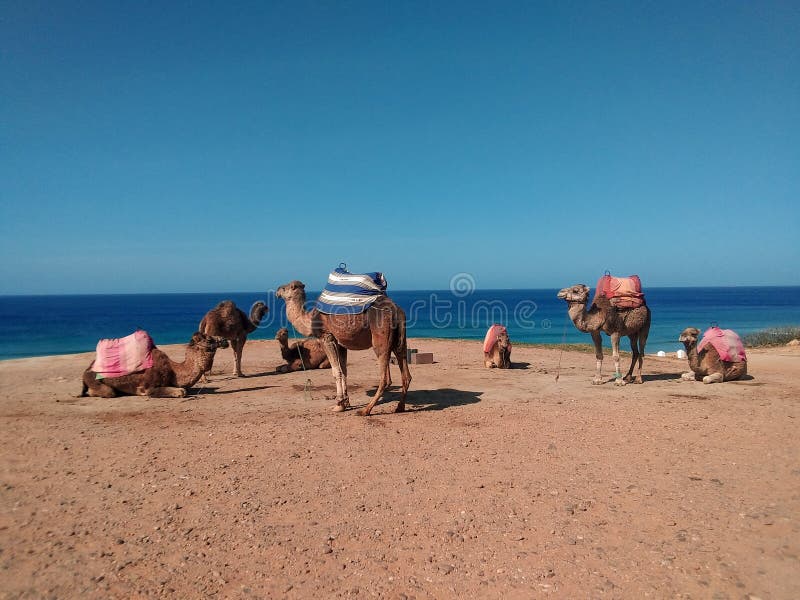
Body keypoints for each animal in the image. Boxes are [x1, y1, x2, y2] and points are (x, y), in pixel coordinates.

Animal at [80, 332, 229, 398]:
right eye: (209, 339)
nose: (225, 340)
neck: (173, 370)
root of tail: (86, 370)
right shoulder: (148, 387)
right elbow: (181, 391)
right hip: (94, 379)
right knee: (108, 391)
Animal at [275, 280, 411, 415]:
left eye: (284, 288)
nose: (276, 292)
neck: (309, 320)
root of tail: (396, 310)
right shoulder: (341, 343)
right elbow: (344, 370)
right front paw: (346, 402)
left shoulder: (326, 338)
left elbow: (336, 371)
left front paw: (339, 404)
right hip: (399, 340)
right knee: (406, 372)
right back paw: (400, 407)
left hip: (381, 337)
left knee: (384, 377)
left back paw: (366, 410)